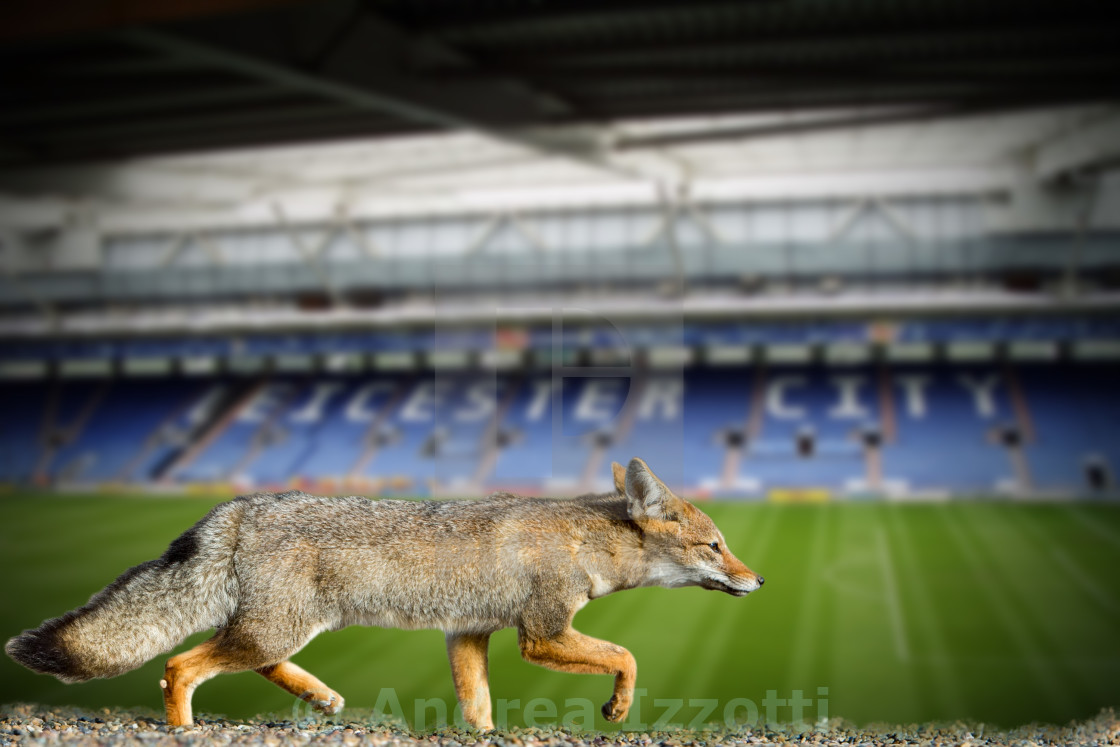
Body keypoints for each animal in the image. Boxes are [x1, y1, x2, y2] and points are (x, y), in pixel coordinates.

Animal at [6, 457, 764, 730]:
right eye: (716, 546)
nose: (760, 580)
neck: (585, 538)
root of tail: (235, 506)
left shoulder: (468, 635)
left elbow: (479, 707)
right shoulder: (543, 633)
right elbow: (628, 656)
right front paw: (617, 706)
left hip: (283, 626)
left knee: (244, 660)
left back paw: (319, 696)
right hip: (278, 627)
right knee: (180, 665)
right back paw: (185, 729)